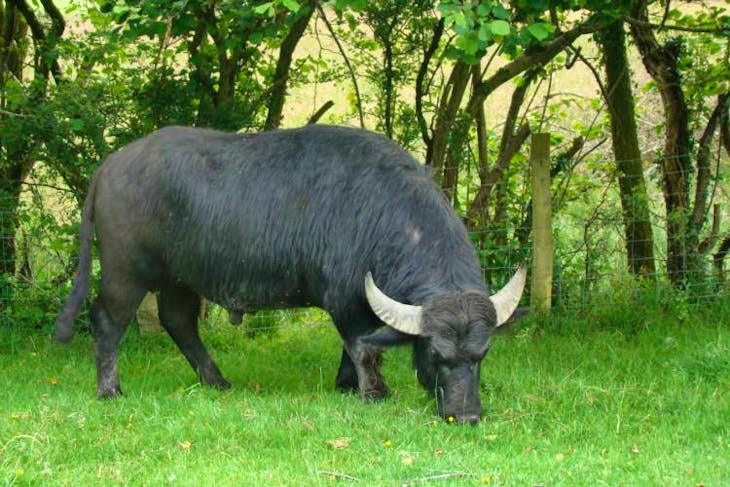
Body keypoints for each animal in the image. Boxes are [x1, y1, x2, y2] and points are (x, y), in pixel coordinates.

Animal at [55, 125, 526, 425]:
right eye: (435, 355)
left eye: (482, 355)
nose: (466, 416)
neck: (381, 212)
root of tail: (110, 167)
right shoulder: (345, 300)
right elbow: (363, 347)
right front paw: (374, 393)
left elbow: (353, 348)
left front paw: (345, 385)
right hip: (126, 271)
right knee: (107, 321)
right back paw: (110, 390)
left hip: (178, 279)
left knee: (179, 322)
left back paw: (216, 381)